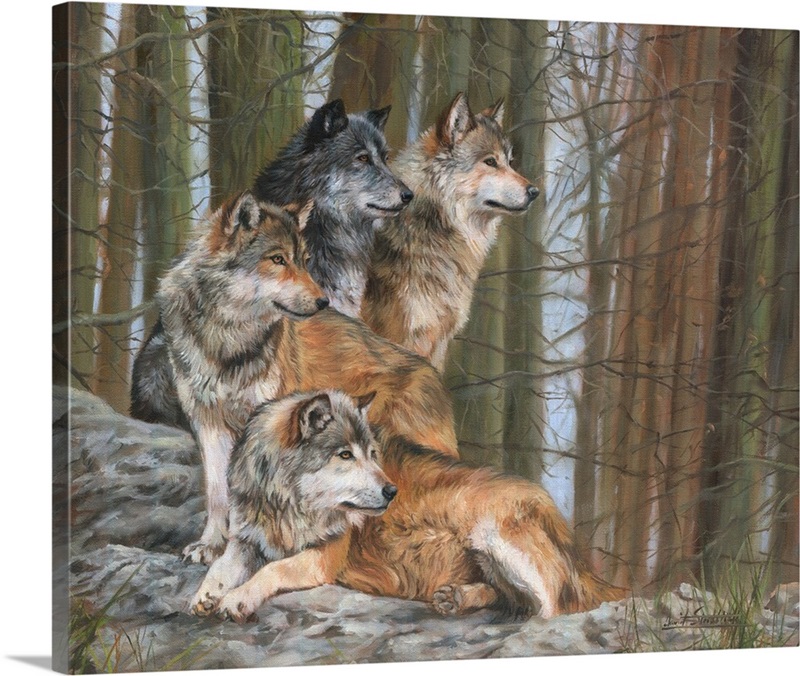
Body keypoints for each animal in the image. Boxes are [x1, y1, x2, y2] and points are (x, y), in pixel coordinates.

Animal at [157, 192, 457, 564]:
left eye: (304, 260)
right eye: (277, 259)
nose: (322, 301)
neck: (229, 342)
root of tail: (434, 376)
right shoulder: (208, 424)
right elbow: (217, 492)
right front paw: (211, 545)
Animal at [190, 390, 624, 623]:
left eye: (372, 454)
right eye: (345, 455)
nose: (391, 491)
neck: (286, 506)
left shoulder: (324, 558)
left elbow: (272, 570)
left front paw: (237, 599)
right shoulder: (247, 540)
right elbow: (221, 566)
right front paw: (206, 595)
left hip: (491, 535)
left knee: (552, 606)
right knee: (511, 597)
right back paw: (457, 599)